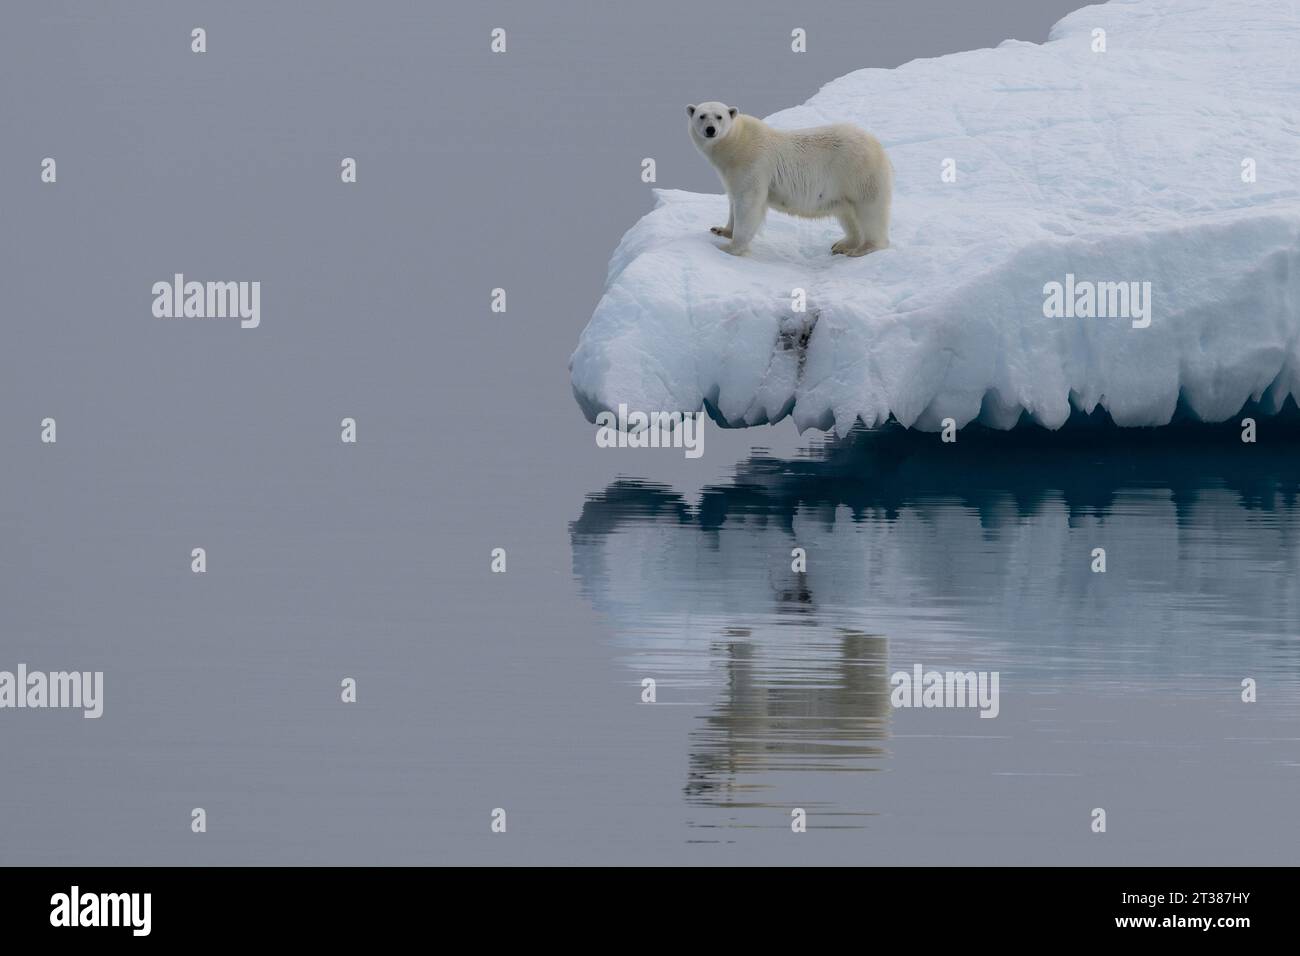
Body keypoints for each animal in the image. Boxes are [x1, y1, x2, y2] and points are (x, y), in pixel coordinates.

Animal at [687, 101, 892, 257]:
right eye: (702, 116)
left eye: (719, 116)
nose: (710, 130)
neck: (737, 144)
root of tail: (876, 145)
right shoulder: (731, 172)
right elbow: (733, 200)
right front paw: (721, 230)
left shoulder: (753, 164)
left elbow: (749, 203)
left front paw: (729, 248)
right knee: (848, 213)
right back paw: (842, 244)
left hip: (857, 172)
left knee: (870, 211)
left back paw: (863, 248)